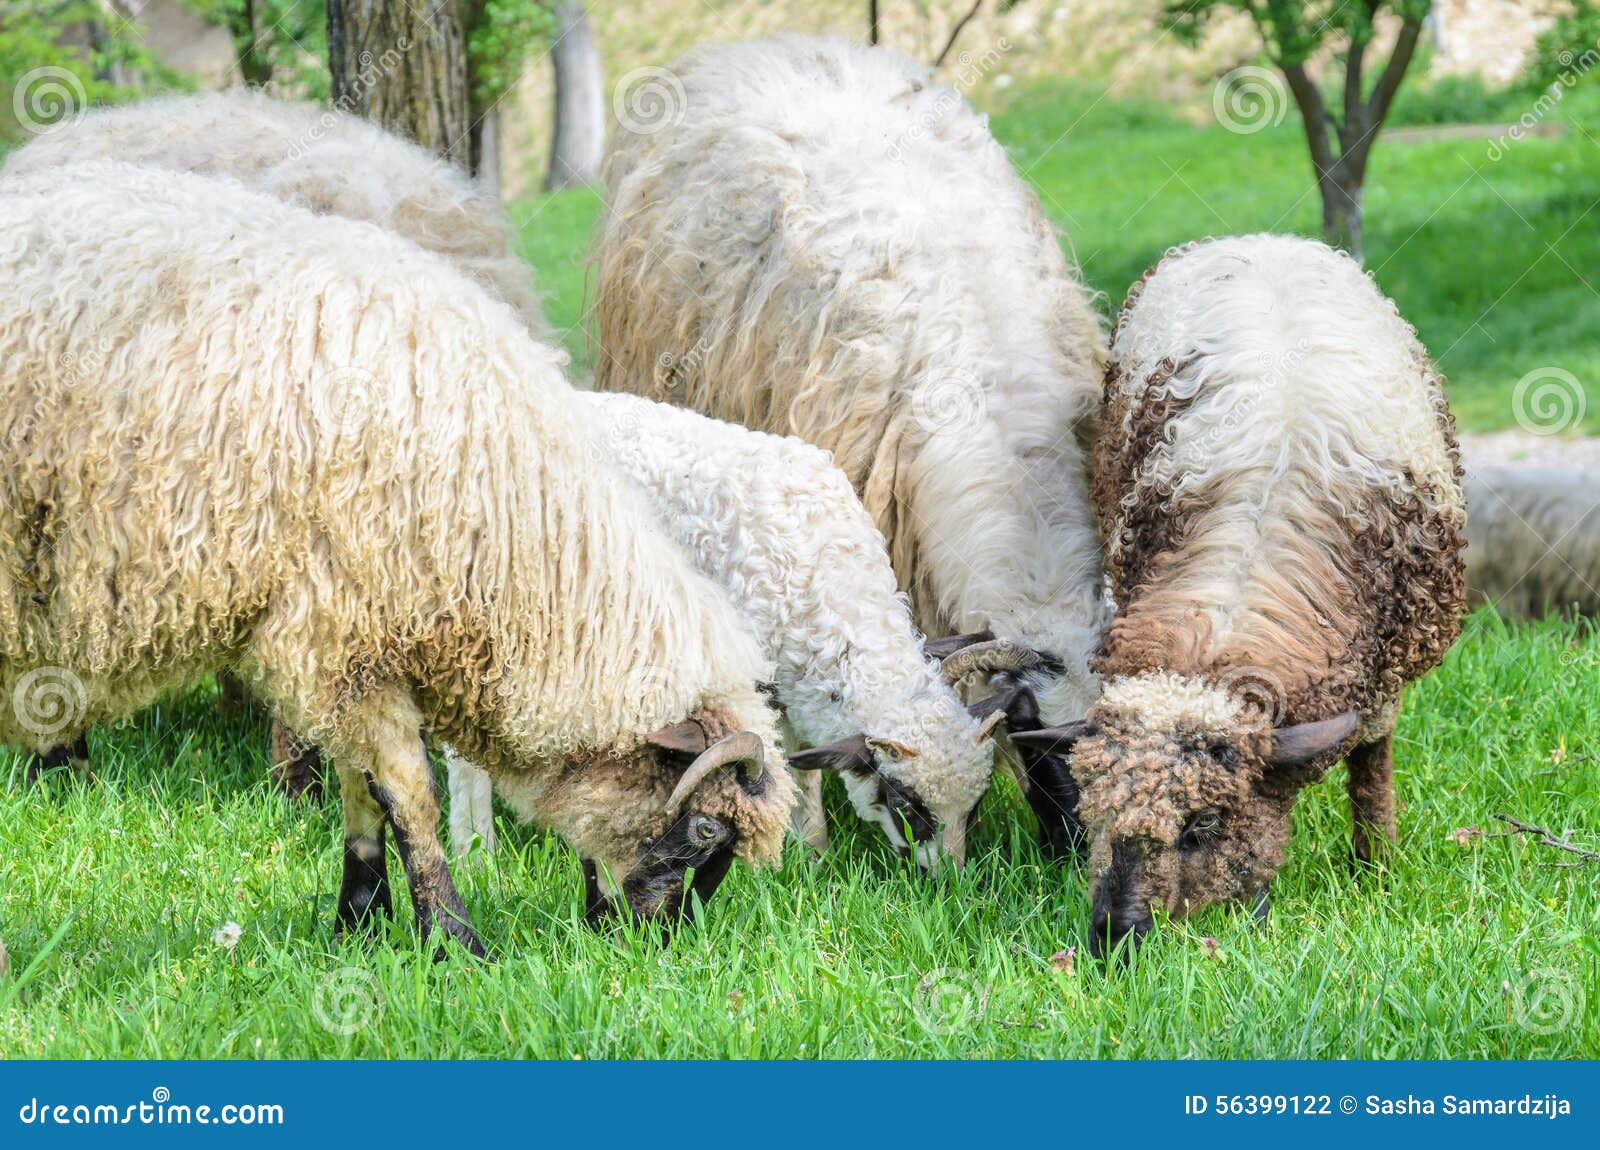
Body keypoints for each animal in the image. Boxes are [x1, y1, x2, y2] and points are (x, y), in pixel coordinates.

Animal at [0, 160, 796, 957]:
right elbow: (406, 790)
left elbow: (360, 787)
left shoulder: (360, 651)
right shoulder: (342, 629)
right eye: (704, 829)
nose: (658, 944)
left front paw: (359, 914)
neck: (515, 531)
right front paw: (452, 938)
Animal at [447, 391, 1013, 869]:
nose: (946, 883)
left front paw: (814, 854)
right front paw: (796, 857)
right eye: (907, 803)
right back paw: (476, 853)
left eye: (975, 805)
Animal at [1012, 235, 1467, 957]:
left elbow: (1372, 762)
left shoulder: (1388, 674)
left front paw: (1375, 867)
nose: (1115, 938)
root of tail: (1262, 239)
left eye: (1203, 824)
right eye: (1096, 810)